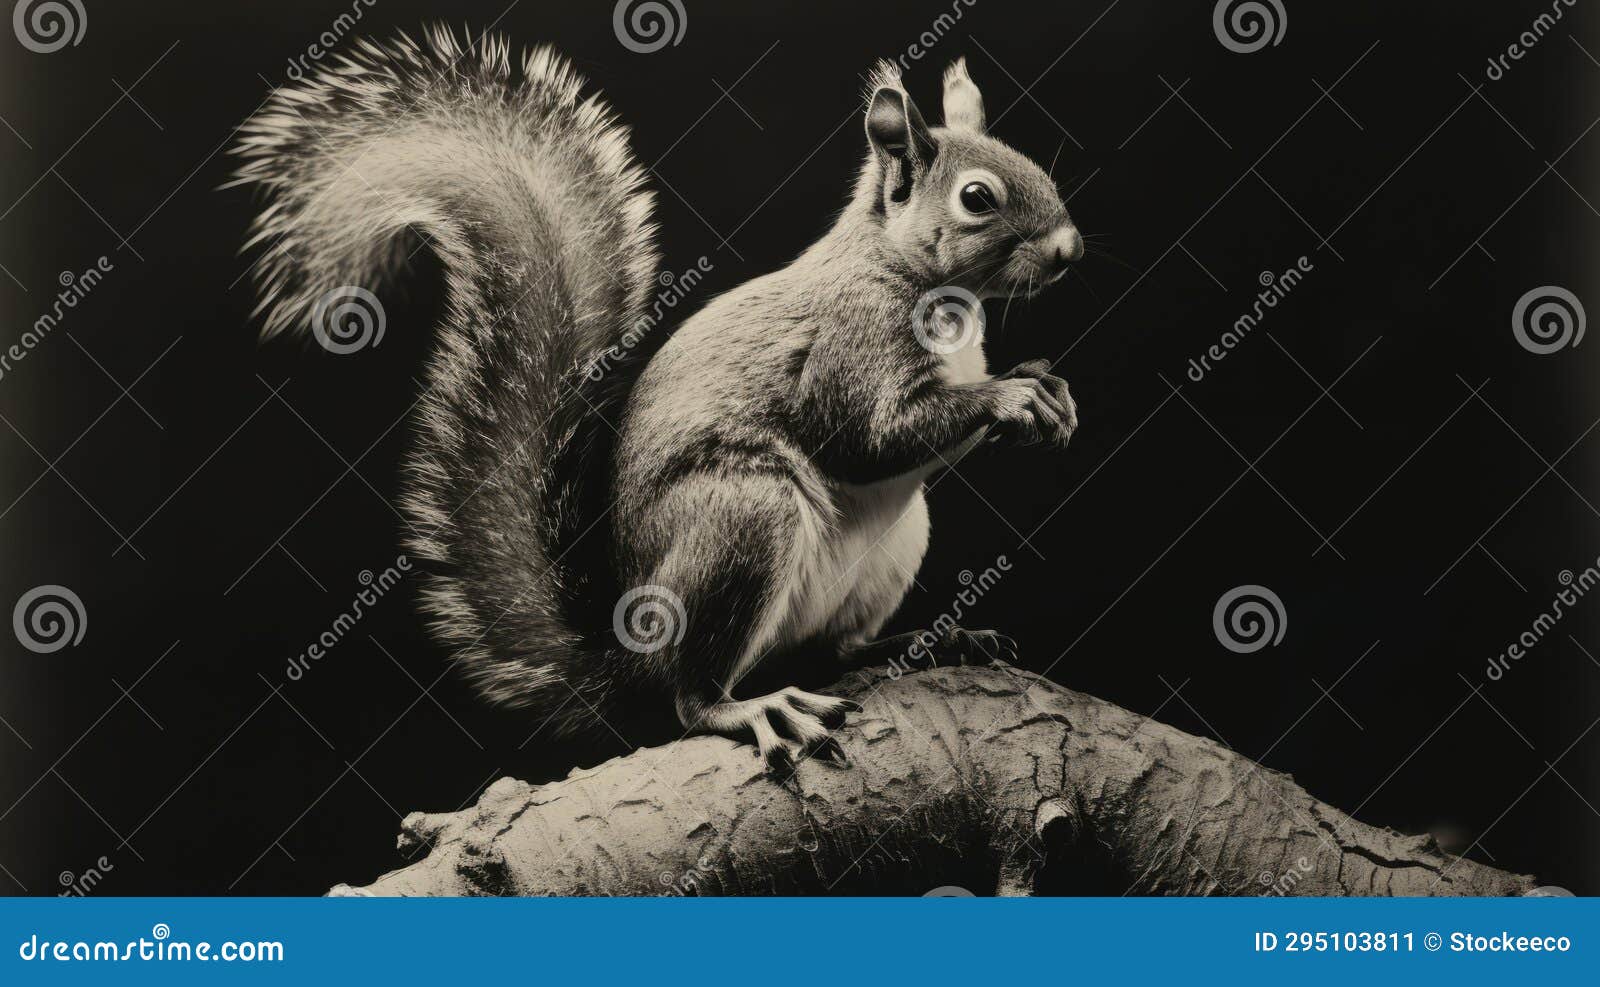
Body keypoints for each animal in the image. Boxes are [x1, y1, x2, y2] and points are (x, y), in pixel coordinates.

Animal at [231, 26, 1084, 775]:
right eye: (977, 197)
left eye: (1033, 166)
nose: (1070, 249)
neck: (917, 279)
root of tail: (629, 648)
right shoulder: (849, 344)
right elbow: (863, 439)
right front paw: (1010, 394)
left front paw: (1051, 395)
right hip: (744, 520)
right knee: (691, 693)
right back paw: (751, 707)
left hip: (896, 543)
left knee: (832, 650)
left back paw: (927, 641)